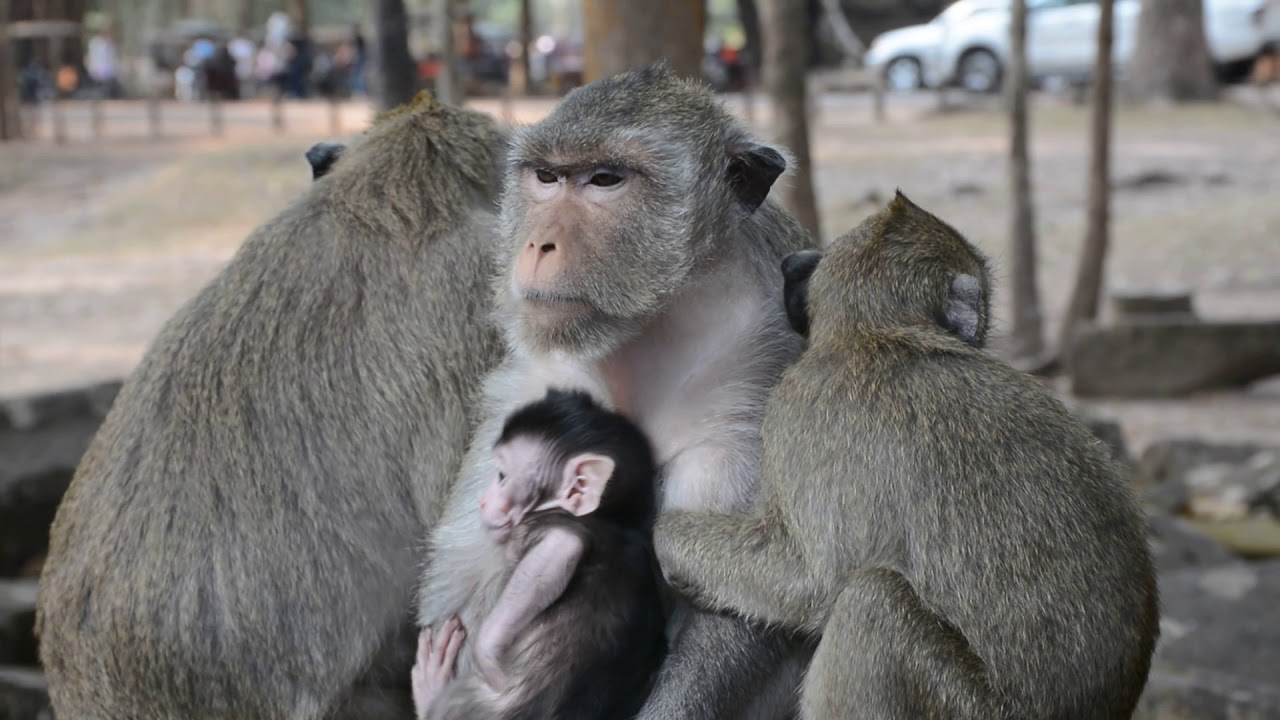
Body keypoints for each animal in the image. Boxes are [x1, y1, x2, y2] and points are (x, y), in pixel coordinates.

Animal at [412, 388, 667, 720]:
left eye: (502, 476)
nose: (483, 501)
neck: (611, 517)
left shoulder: (546, 526)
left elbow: (562, 546)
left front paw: (490, 661)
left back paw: (432, 688)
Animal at [653, 191, 1161, 720]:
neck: (875, 332)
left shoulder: (796, 404)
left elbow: (804, 579)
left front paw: (667, 540)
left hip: (965, 706)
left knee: (873, 602)